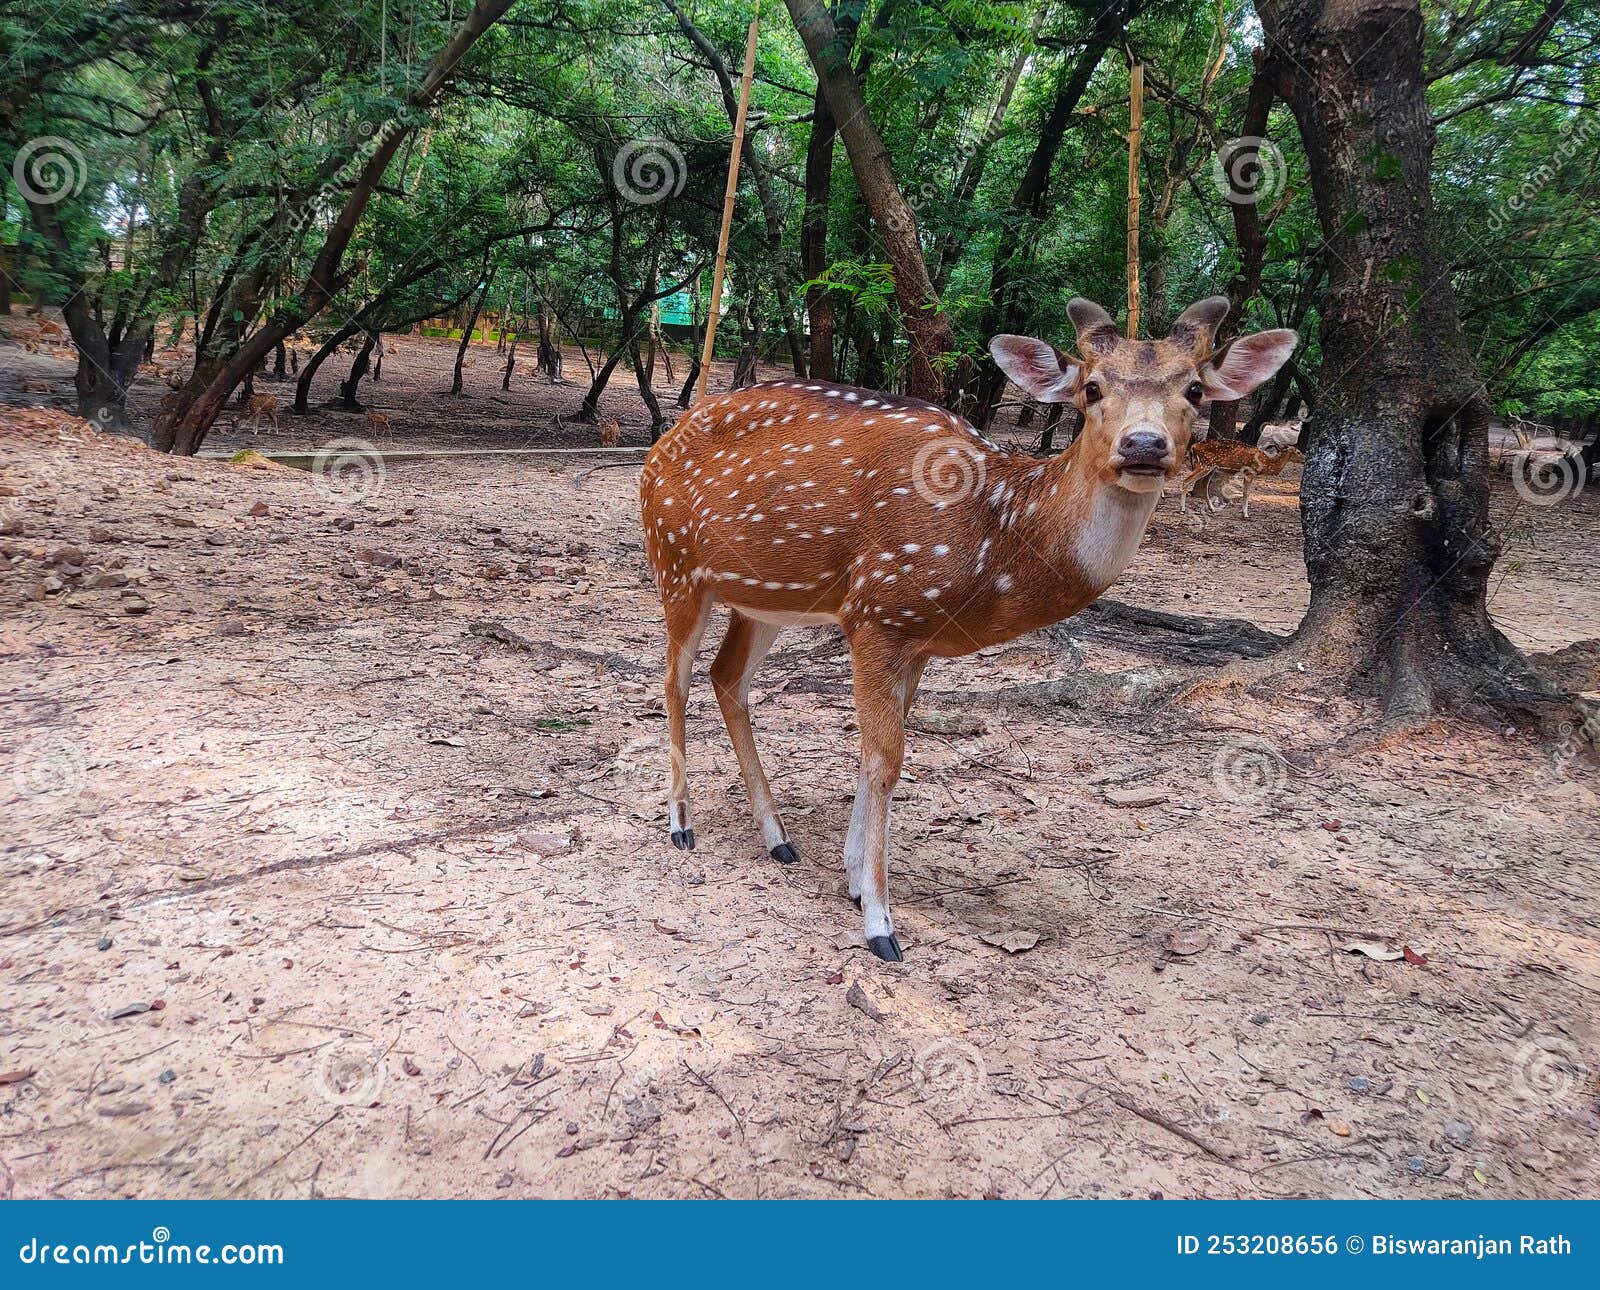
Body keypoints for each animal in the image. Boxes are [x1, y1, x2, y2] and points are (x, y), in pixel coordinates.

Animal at [639, 296, 1296, 960]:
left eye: (1194, 389)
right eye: (1091, 388)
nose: (1143, 444)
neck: (991, 539)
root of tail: (660, 442)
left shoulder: (916, 638)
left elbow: (880, 750)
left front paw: (854, 879)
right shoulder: (877, 610)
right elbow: (884, 758)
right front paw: (880, 923)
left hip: (765, 600)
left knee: (727, 677)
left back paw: (777, 837)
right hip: (675, 564)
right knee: (673, 680)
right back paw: (681, 824)